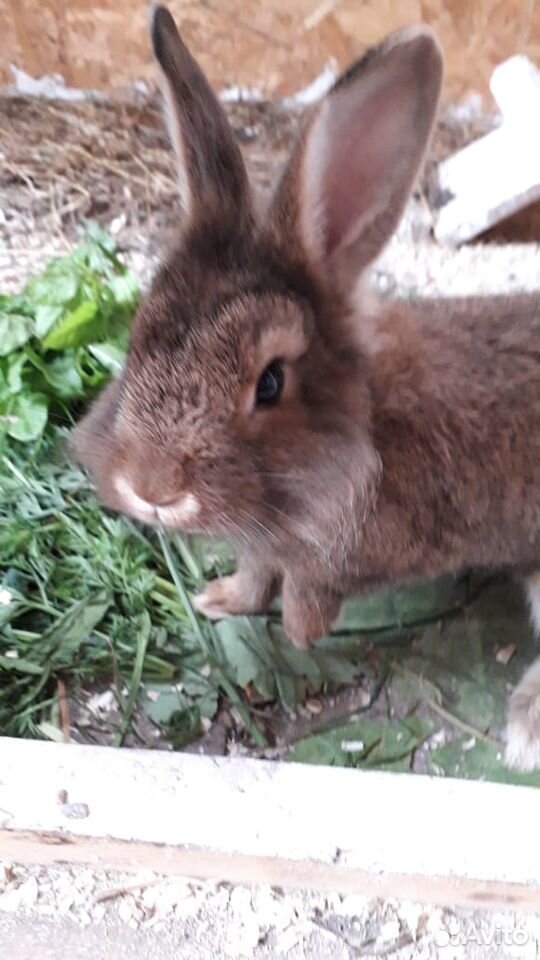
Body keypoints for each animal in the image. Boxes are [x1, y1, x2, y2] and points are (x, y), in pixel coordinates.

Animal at [72, 5, 540, 772]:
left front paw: (297, 633)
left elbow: (306, 594)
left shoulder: (335, 555)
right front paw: (219, 599)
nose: (153, 488)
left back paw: (526, 729)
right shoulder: (267, 542)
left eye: (270, 381)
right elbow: (256, 568)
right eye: (138, 334)